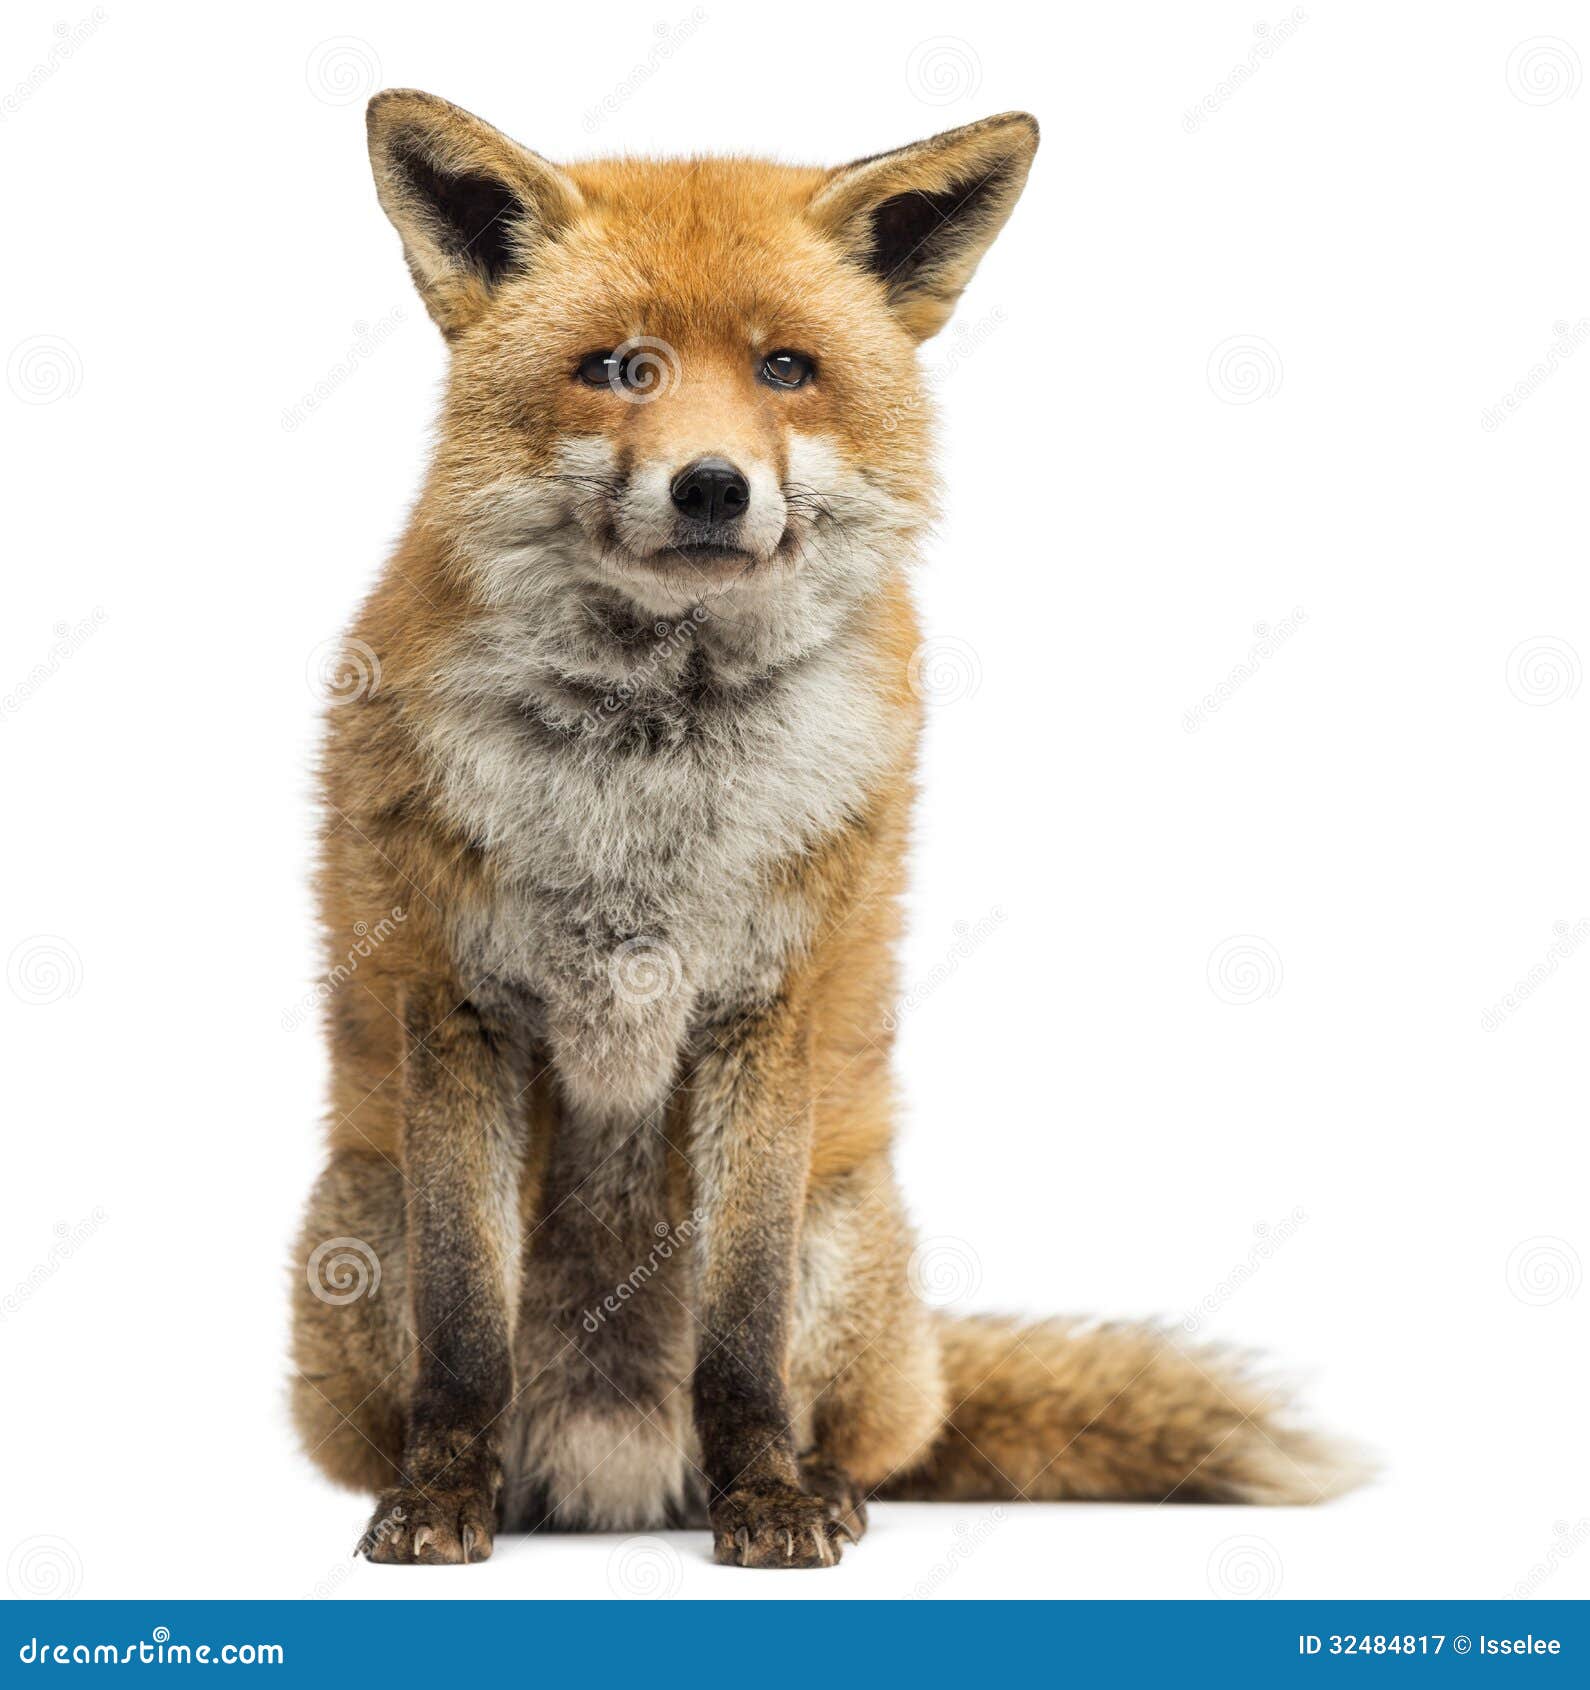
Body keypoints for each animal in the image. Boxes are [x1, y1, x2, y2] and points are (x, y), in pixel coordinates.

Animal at [290, 89, 1364, 1570]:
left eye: (786, 368)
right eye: (618, 370)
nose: (710, 486)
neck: (652, 765)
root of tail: (616, 1480)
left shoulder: (765, 1008)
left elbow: (739, 1337)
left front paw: (770, 1500)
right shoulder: (458, 1004)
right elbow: (466, 1336)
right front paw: (442, 1498)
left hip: (849, 1241)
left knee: (863, 1427)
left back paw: (822, 1483)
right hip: (357, 1226)